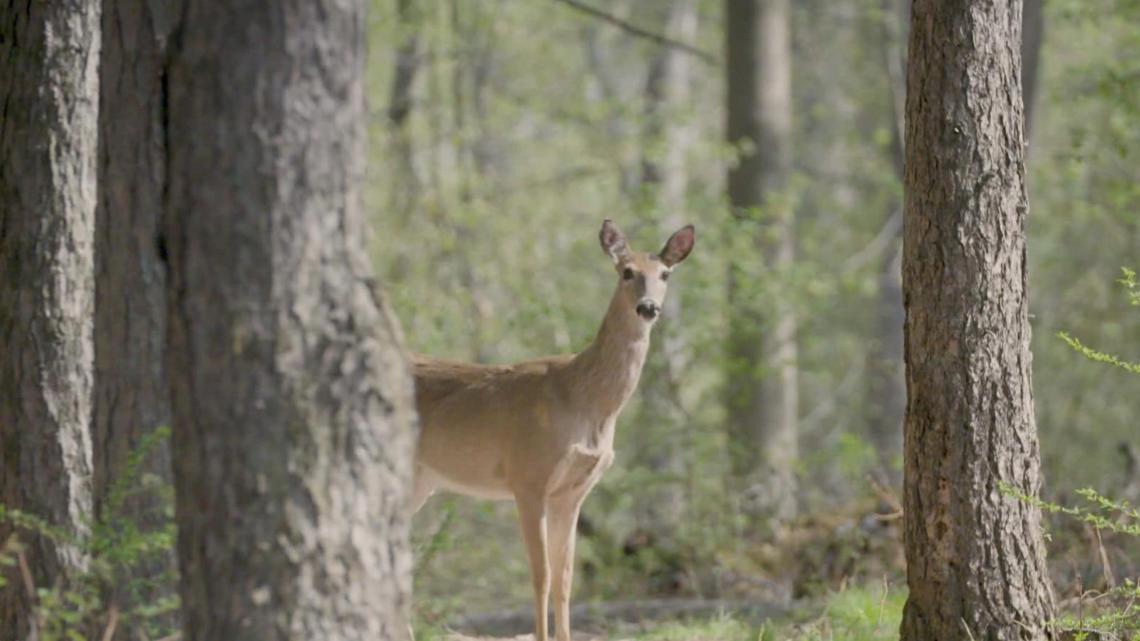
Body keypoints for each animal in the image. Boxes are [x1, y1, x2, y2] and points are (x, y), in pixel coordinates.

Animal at [410, 219, 695, 641]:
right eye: (626, 272)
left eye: (665, 274)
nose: (648, 308)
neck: (584, 400)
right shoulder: (528, 475)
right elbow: (541, 574)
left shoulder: (573, 490)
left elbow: (565, 576)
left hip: (422, 480)